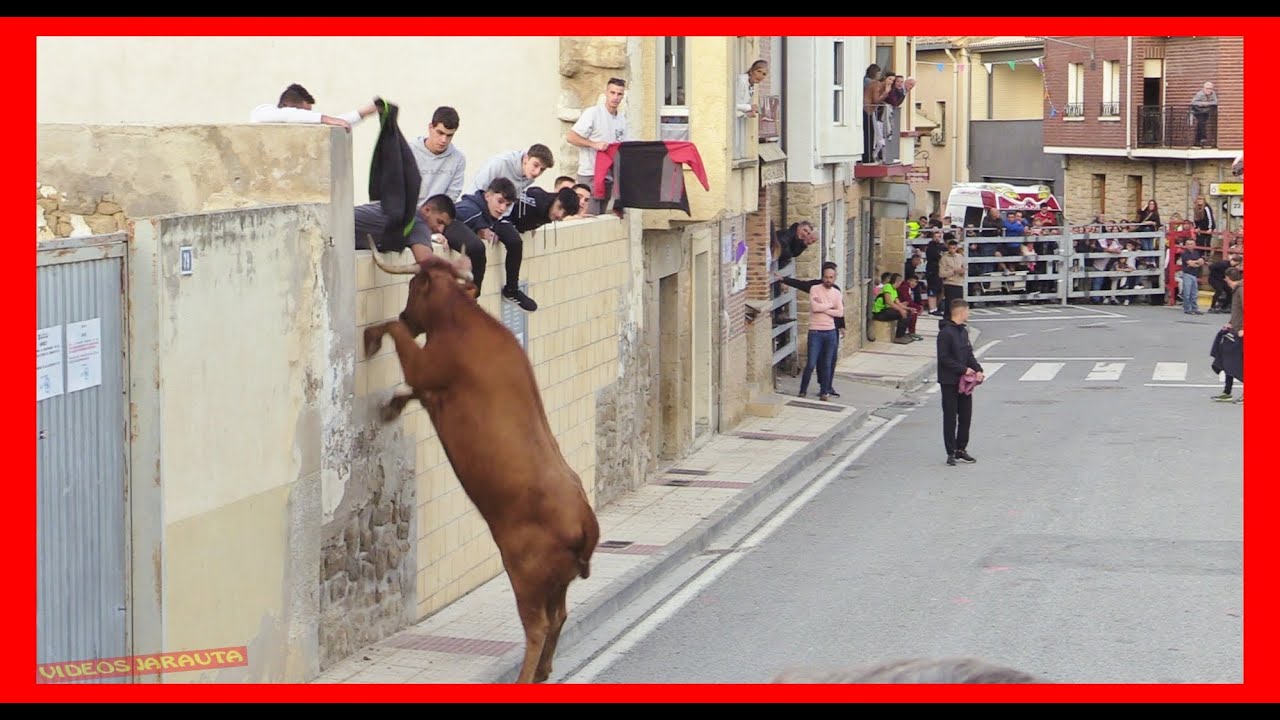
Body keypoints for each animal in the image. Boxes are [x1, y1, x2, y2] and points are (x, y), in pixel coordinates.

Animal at [362, 248, 600, 684]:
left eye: (413, 285)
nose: (407, 313)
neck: (462, 320)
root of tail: (586, 522)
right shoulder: (426, 386)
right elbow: (408, 391)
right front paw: (391, 407)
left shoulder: (425, 369)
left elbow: (396, 338)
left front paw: (371, 340)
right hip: (557, 582)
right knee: (559, 617)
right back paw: (544, 672)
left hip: (524, 573)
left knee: (538, 625)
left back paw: (524, 679)